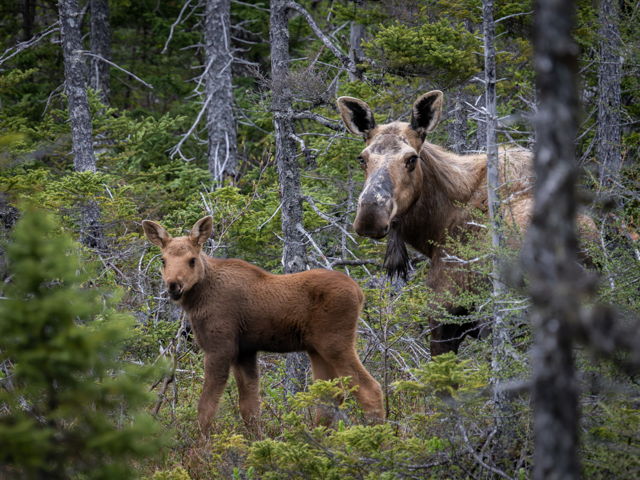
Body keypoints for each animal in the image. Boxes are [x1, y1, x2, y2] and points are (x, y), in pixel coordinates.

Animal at [142, 216, 384, 435]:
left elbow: (206, 408)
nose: (174, 285)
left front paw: (202, 445)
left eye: (192, 259)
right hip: (316, 349)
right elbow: (249, 408)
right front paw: (256, 442)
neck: (197, 301)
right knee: (329, 397)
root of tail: (360, 293)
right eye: (163, 260)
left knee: (370, 389)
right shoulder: (245, 351)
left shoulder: (220, 347)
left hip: (335, 342)